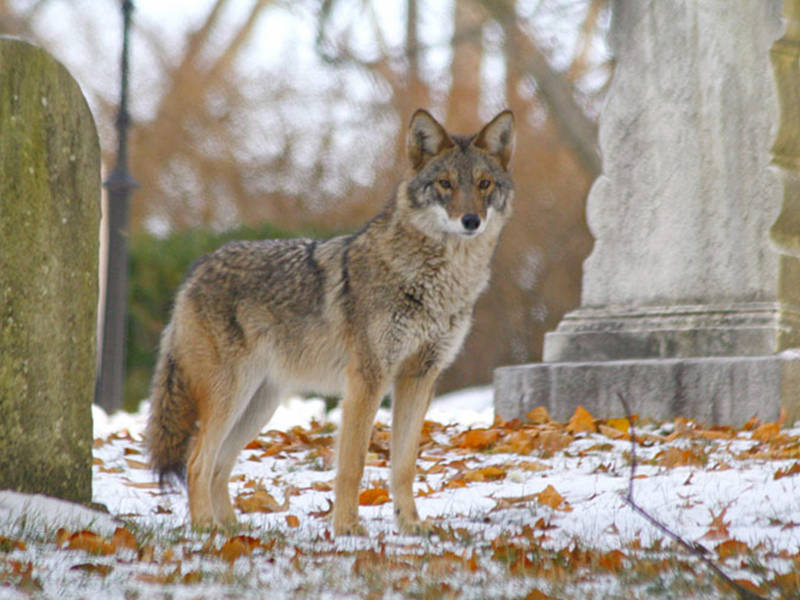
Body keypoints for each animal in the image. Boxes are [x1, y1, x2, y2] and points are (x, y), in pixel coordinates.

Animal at [145, 108, 515, 535]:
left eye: (484, 184)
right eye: (445, 184)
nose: (471, 220)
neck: (436, 281)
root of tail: (194, 272)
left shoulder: (420, 377)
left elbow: (404, 466)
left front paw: (410, 526)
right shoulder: (367, 380)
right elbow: (352, 465)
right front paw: (348, 529)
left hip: (259, 405)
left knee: (219, 467)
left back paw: (235, 530)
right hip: (230, 397)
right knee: (197, 462)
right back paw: (208, 528)